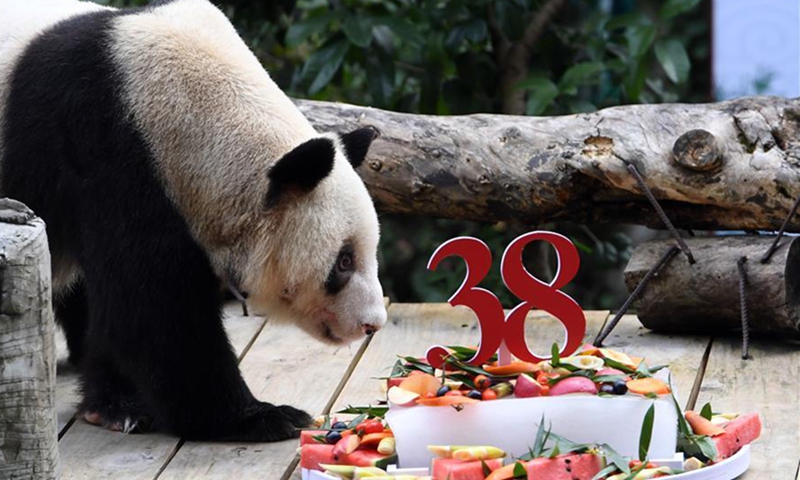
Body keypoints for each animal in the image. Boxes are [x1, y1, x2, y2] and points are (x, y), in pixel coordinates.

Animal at [0, 0, 387, 441]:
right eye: (343, 261)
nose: (372, 324)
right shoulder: (111, 157)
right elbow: (154, 309)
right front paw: (259, 416)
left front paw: (113, 402)